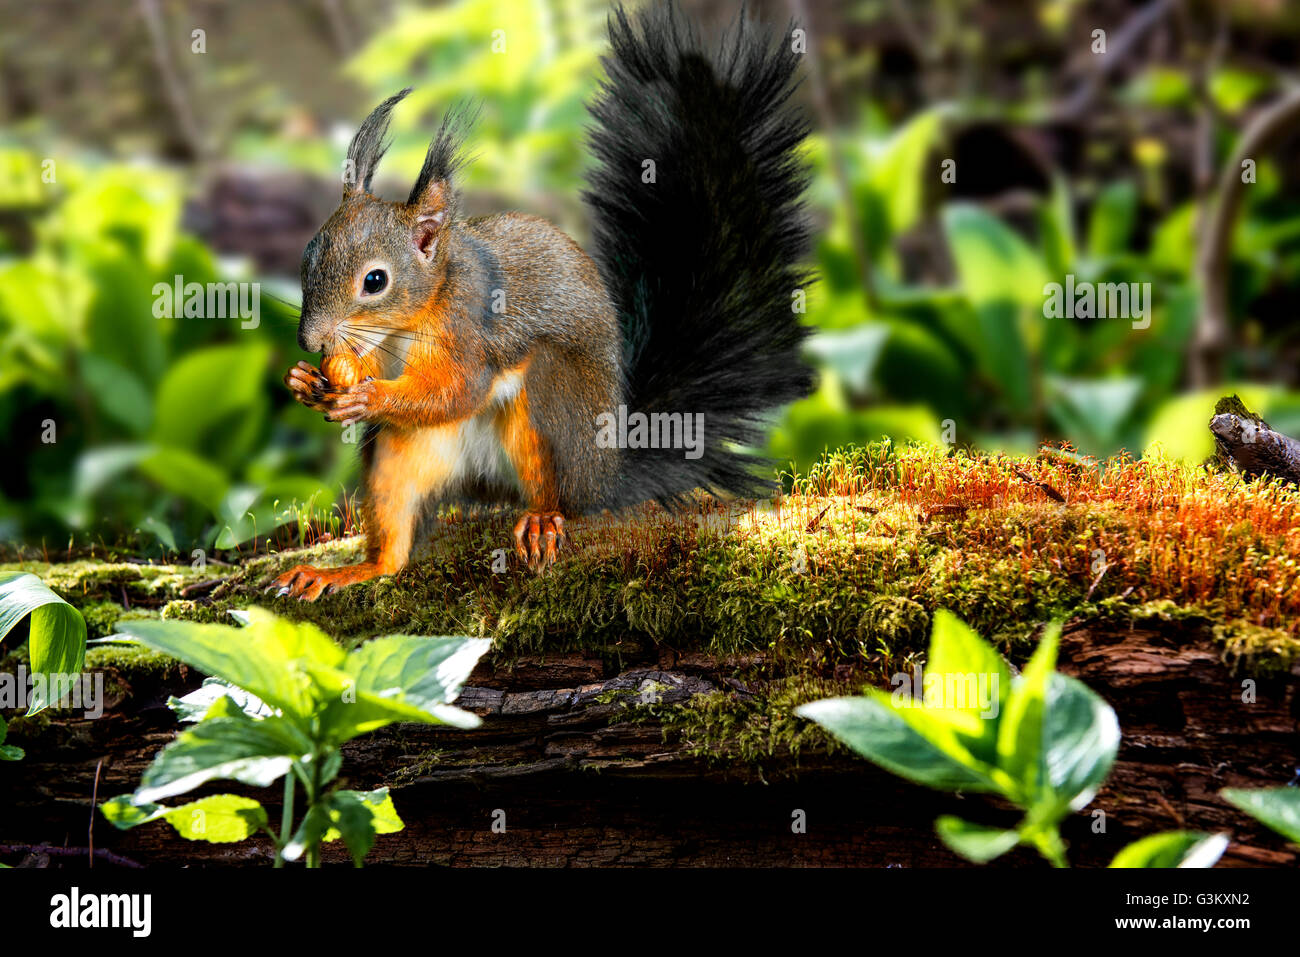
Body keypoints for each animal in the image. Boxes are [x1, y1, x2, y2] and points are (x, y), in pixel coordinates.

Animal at [274, 2, 813, 600]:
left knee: (565, 498)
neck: (411, 319)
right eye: (307, 260)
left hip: (554, 407)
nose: (310, 339)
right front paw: (306, 381)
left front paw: (367, 396)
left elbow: (457, 390)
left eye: (374, 281)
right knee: (394, 543)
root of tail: (608, 474)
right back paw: (351, 570)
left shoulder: (469, 326)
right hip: (402, 454)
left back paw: (543, 518)